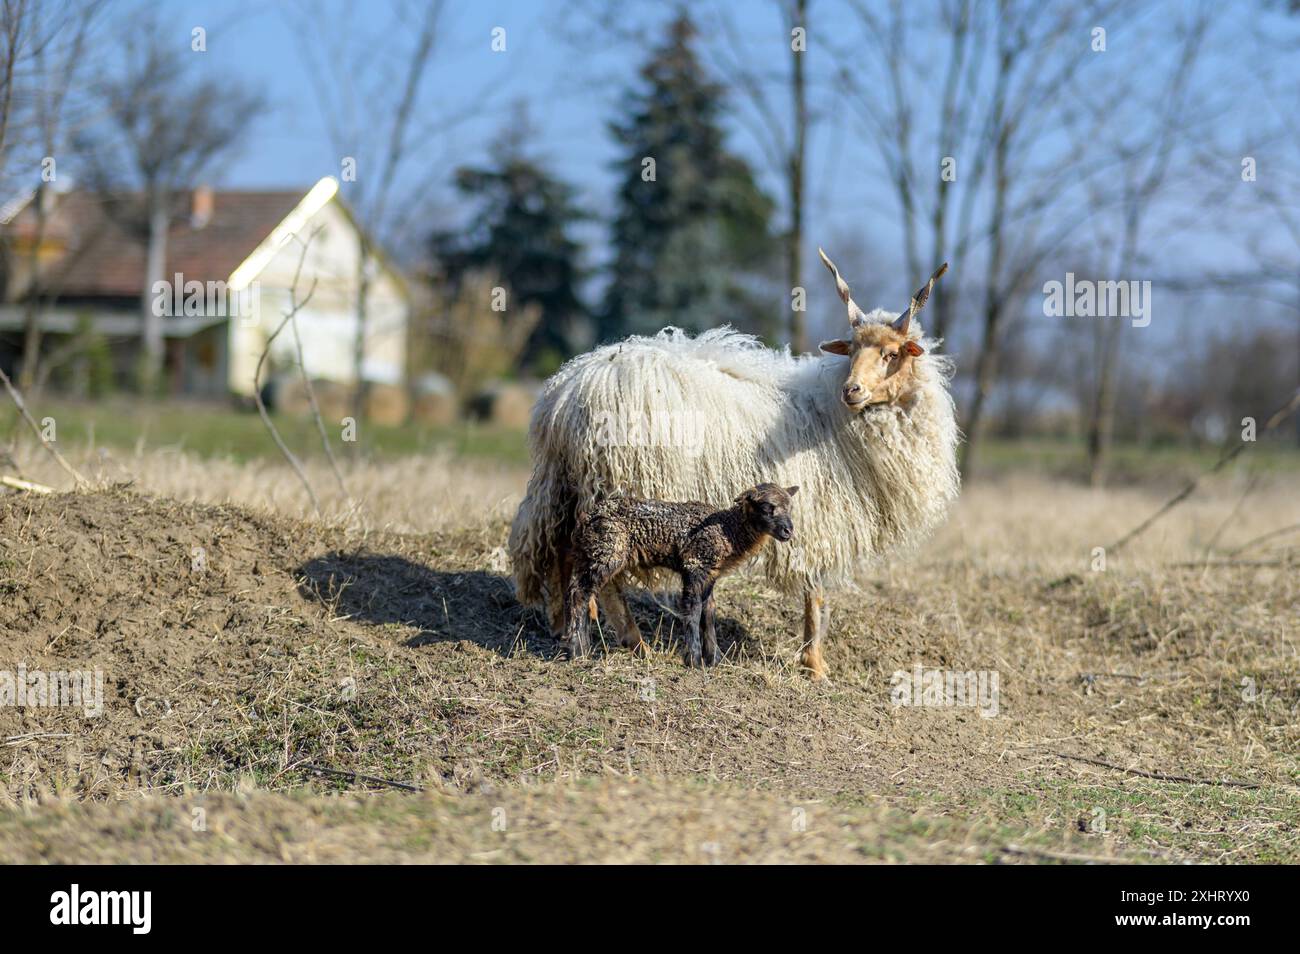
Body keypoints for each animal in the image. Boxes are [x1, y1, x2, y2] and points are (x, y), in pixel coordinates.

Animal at [564, 483, 798, 667]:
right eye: (767, 507)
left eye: (790, 508)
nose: (788, 531)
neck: (728, 530)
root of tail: (586, 518)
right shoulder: (694, 564)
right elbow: (692, 611)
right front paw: (694, 660)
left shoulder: (709, 574)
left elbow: (709, 613)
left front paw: (715, 659)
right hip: (607, 550)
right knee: (580, 593)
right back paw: (576, 651)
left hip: (598, 553)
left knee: (596, 592)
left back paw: (587, 647)